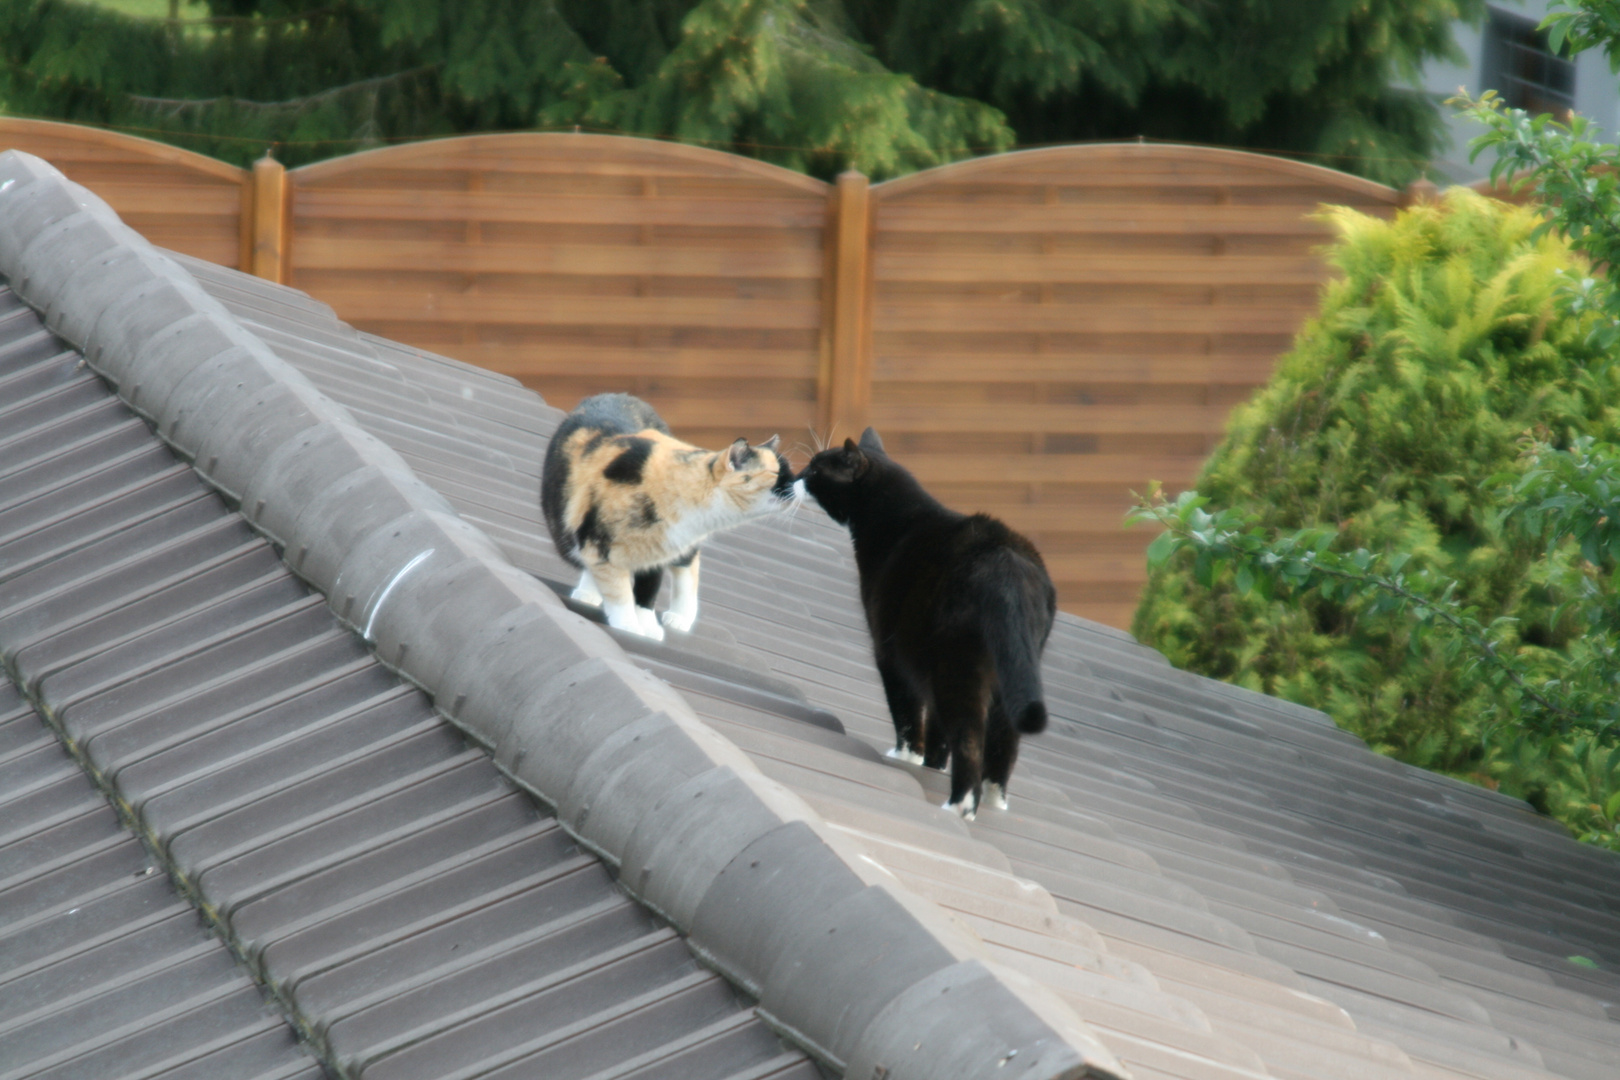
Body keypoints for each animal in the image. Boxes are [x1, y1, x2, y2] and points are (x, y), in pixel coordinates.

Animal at [544, 393, 797, 637]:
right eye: (777, 473)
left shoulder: (658, 555)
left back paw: (679, 619)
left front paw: (647, 628)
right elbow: (619, 593)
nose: (798, 483)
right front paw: (629, 626)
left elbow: (647, 591)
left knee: (687, 566)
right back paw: (588, 593)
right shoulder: (597, 541)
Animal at [790, 427, 1056, 816]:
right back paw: (994, 803)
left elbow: (907, 711)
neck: (896, 522)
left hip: (956, 667)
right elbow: (937, 732)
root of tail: (1008, 567)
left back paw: (959, 805)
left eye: (813, 470)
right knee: (1004, 743)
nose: (792, 479)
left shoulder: (891, 651)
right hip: (1012, 669)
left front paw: (907, 758)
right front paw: (932, 763)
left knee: (969, 737)